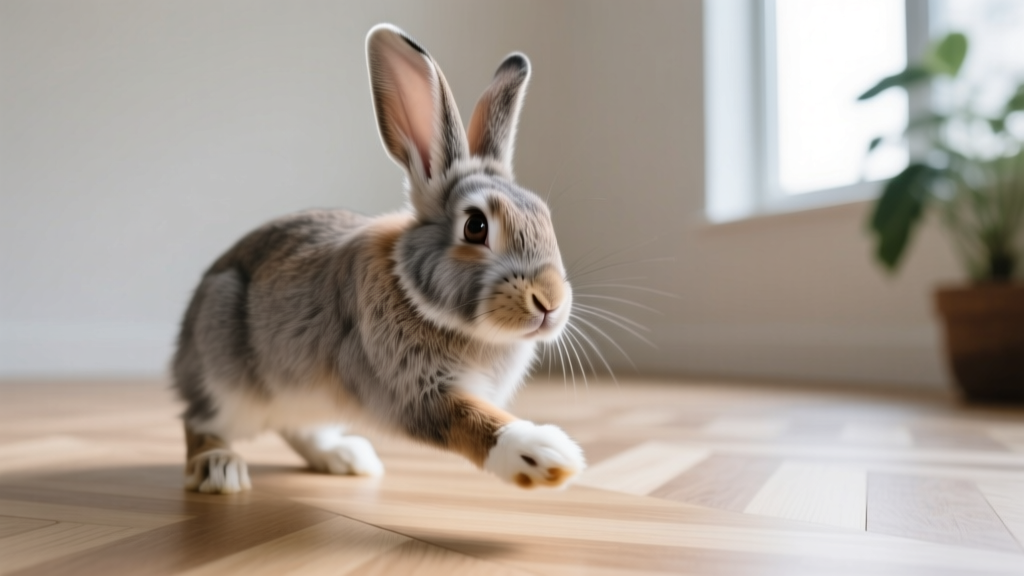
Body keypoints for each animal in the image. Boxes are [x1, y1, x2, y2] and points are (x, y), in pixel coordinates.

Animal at [172, 23, 585, 494]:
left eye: (545, 217)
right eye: (476, 226)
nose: (550, 302)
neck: (416, 296)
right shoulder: (408, 389)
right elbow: (468, 419)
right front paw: (546, 455)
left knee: (295, 427)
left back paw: (347, 456)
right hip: (226, 377)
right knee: (198, 421)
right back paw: (219, 469)